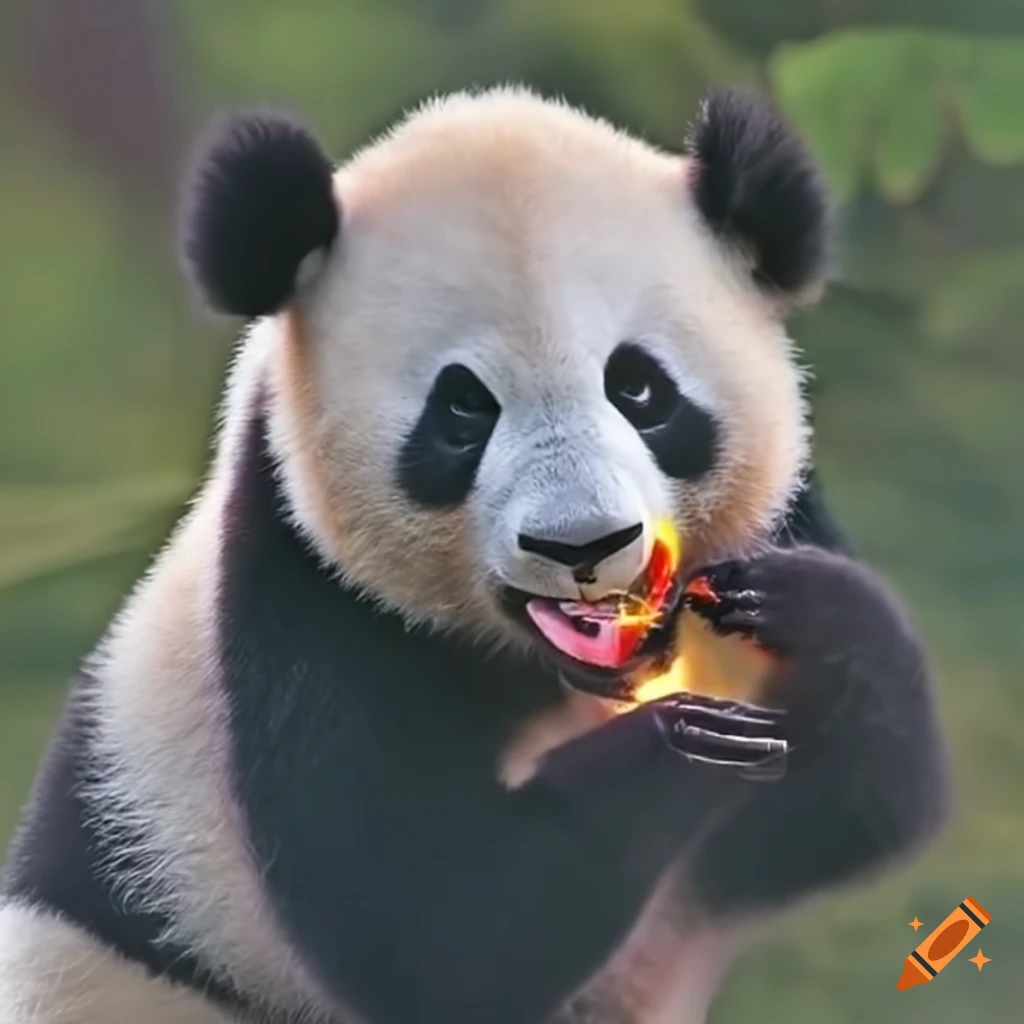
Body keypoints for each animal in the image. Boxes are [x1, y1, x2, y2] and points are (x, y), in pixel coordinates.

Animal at [0, 85, 950, 1024]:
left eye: (639, 388)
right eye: (463, 409)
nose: (584, 544)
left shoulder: (787, 516)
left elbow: (847, 815)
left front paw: (806, 617)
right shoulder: (302, 598)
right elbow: (436, 930)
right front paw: (686, 740)